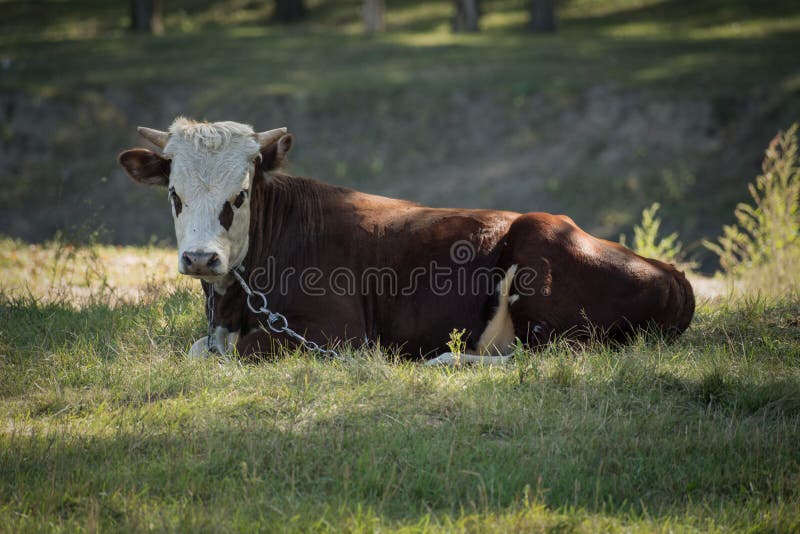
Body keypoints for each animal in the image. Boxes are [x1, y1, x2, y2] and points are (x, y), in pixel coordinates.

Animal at [118, 118, 694, 365]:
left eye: (239, 195)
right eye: (174, 194)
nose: (200, 258)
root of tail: (671, 272)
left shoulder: (339, 333)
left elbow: (239, 349)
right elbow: (203, 348)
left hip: (545, 276)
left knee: (542, 358)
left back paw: (444, 361)